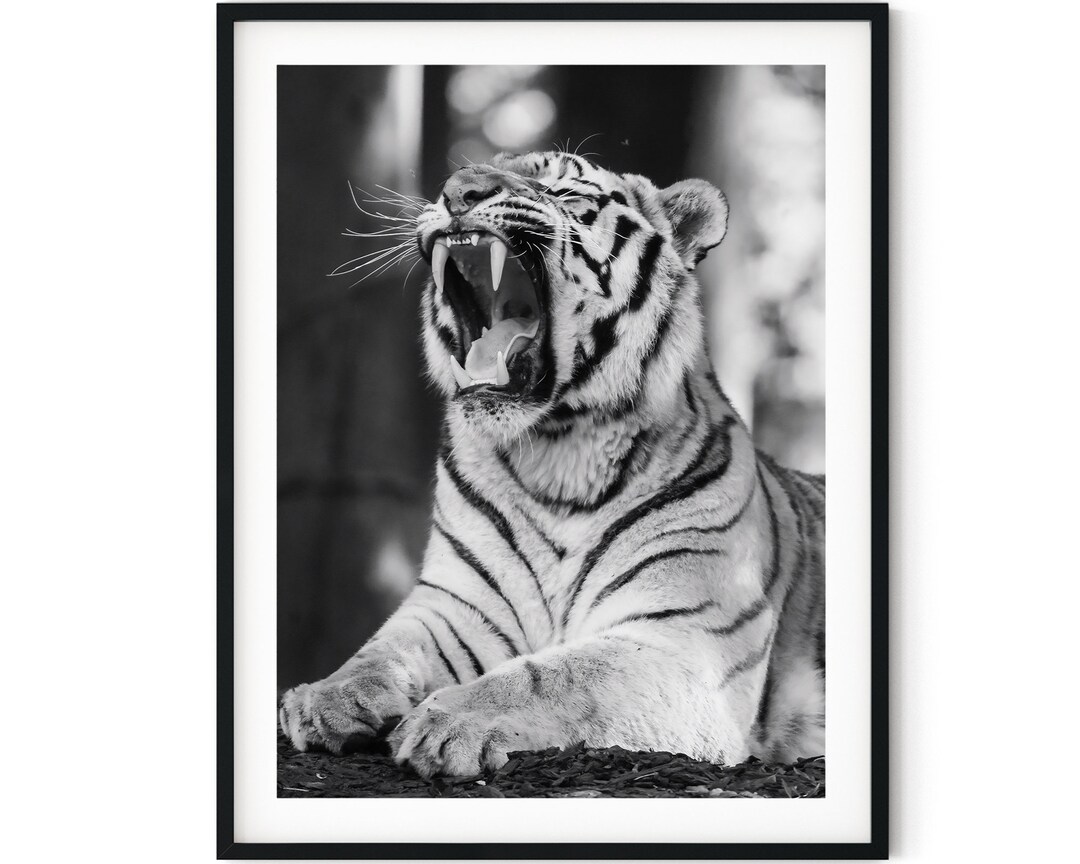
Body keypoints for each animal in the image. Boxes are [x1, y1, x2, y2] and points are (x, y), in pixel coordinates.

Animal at [279, 150, 826, 779]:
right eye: (466, 176)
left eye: (564, 191)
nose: (458, 190)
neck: (555, 455)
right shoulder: (455, 604)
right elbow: (384, 647)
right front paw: (326, 697)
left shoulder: (683, 638)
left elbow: (560, 676)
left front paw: (449, 722)